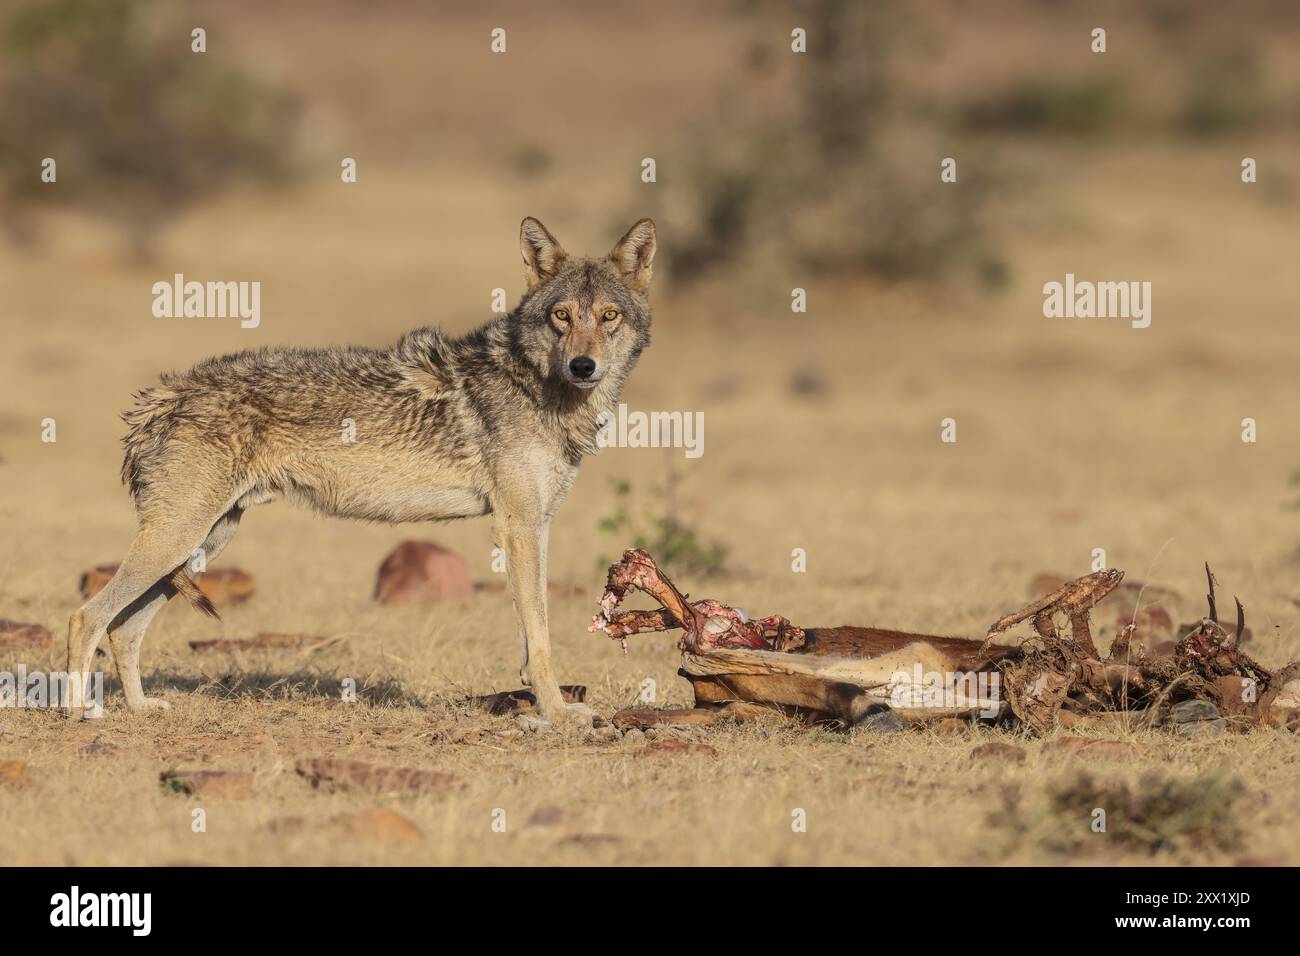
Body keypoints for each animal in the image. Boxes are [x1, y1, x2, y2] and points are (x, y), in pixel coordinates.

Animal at [66, 217, 656, 723]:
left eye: (609, 316)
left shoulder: (535, 525)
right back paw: (78, 711)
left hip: (202, 544)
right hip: (179, 539)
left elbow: (534, 632)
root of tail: (160, 398)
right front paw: (557, 714)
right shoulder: (519, 527)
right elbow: (539, 635)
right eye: (563, 316)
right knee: (86, 617)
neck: (540, 387)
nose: (584, 366)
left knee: (124, 630)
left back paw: (140, 709)